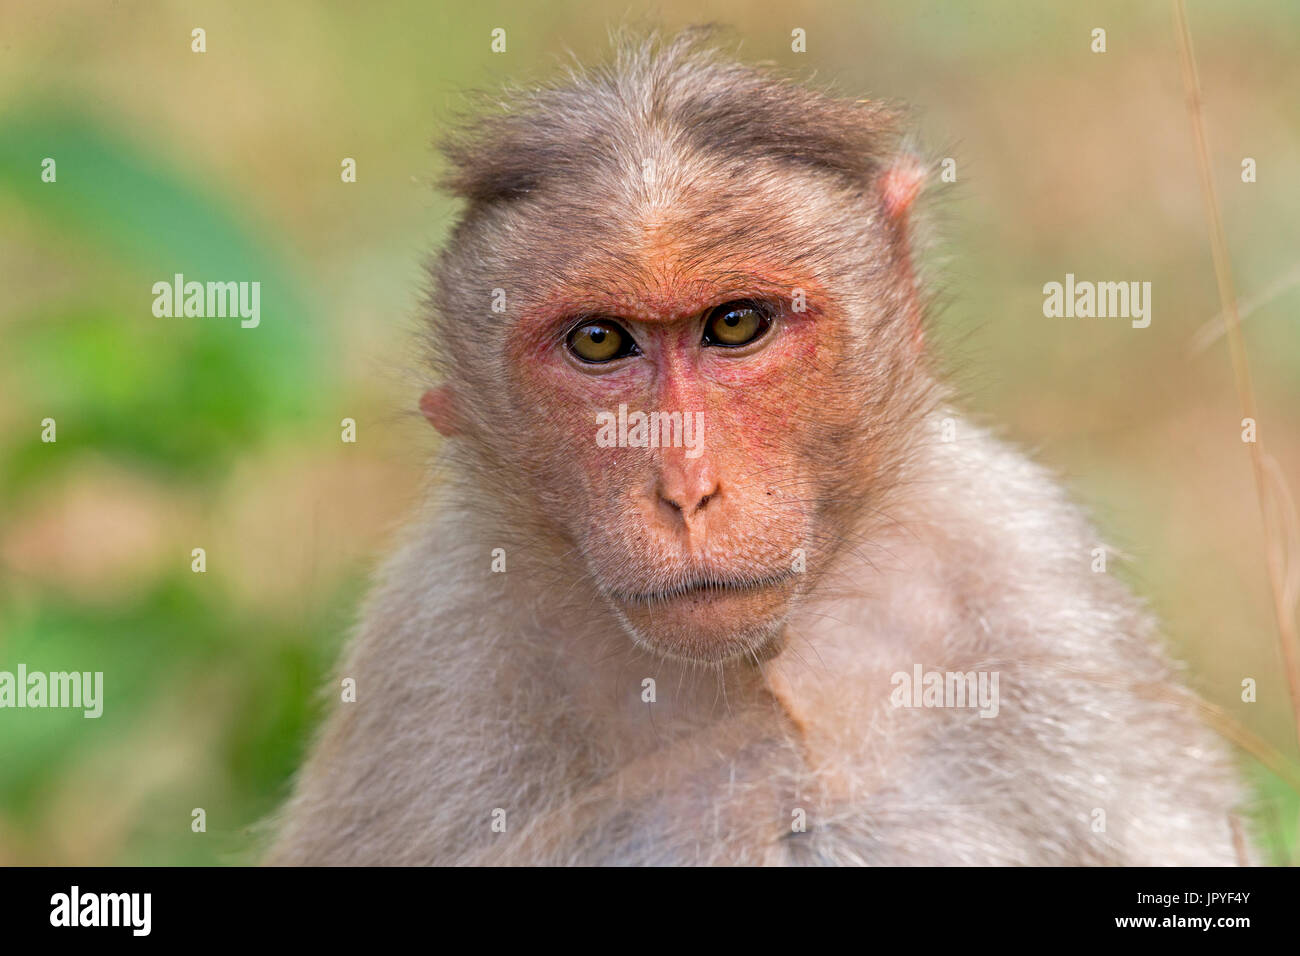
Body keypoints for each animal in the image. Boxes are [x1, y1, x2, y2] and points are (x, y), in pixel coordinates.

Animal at [267, 31, 1247, 866]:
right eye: (599, 343)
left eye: (736, 324)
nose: (687, 491)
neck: (765, 666)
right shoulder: (437, 654)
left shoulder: (1034, 577)